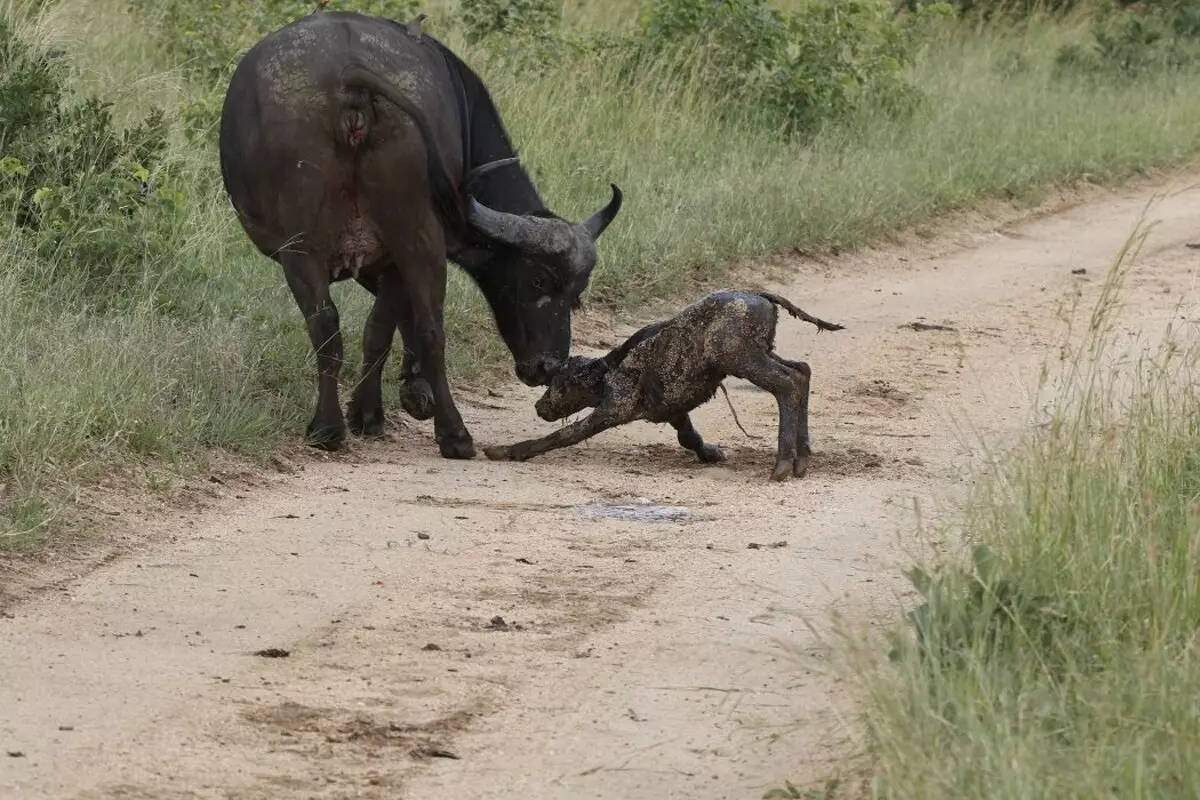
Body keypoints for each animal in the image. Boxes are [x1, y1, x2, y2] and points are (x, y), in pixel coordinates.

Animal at [217, 9, 624, 455]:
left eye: (577, 295)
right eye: (537, 280)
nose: (547, 366)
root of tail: (348, 78)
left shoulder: (378, 259)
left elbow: (380, 329)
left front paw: (378, 408)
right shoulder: (392, 259)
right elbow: (389, 326)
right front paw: (393, 400)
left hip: (313, 247)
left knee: (331, 327)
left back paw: (334, 428)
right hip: (405, 238)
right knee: (423, 329)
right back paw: (447, 433)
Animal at [480, 289, 844, 482]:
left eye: (559, 384)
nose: (539, 406)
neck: (607, 372)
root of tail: (759, 294)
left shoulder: (612, 409)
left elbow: (561, 436)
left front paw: (507, 451)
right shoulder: (672, 407)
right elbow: (688, 435)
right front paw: (711, 453)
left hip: (743, 359)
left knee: (787, 384)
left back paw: (782, 464)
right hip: (761, 353)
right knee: (801, 371)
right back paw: (802, 459)